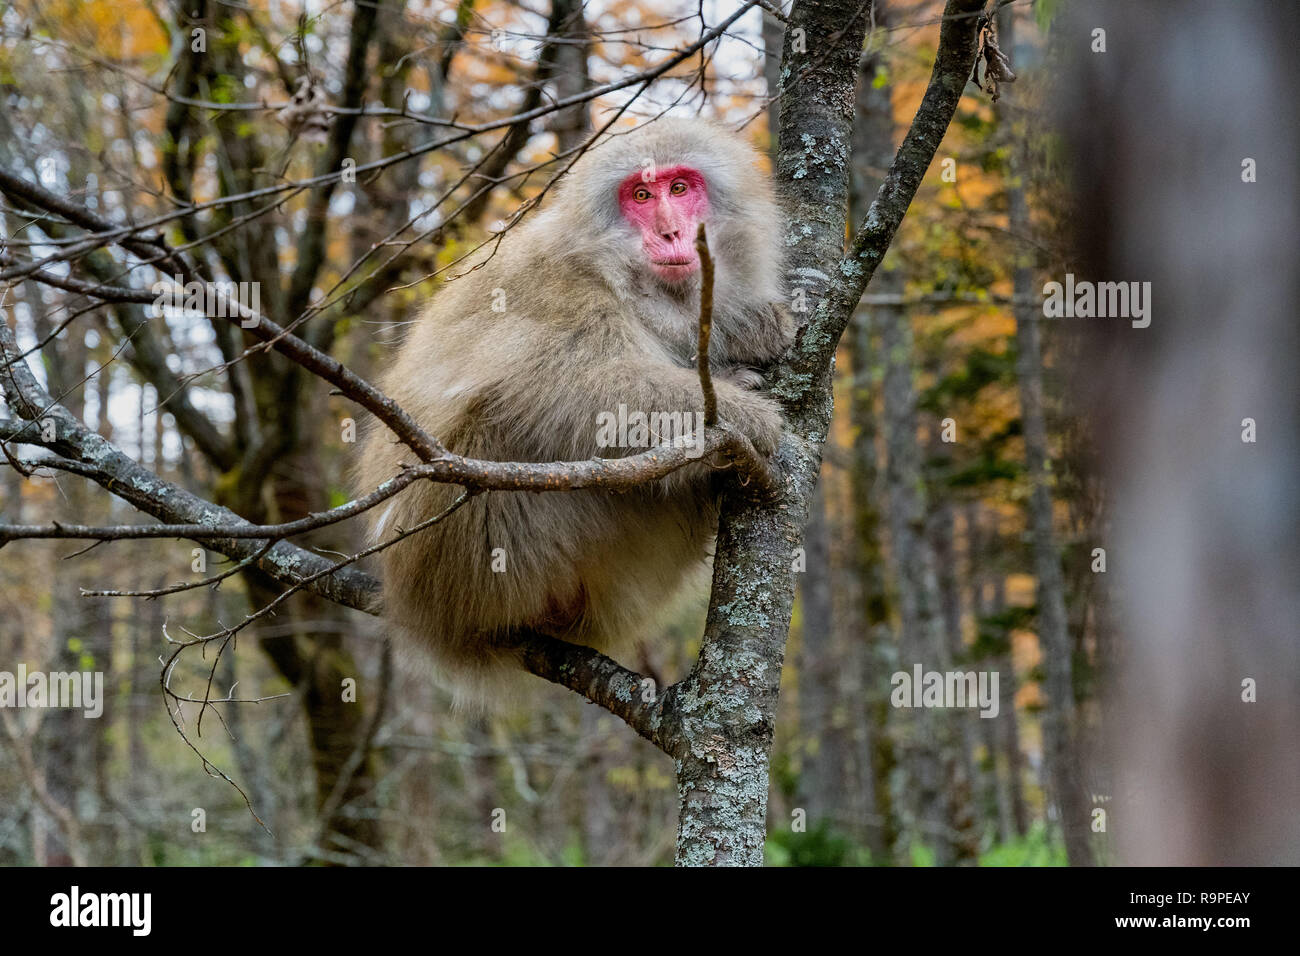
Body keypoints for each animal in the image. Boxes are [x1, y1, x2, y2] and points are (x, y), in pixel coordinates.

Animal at [355, 118, 792, 707]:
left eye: (680, 188)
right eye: (640, 196)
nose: (670, 233)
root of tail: (429, 623)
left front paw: (749, 329)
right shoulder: (562, 289)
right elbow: (573, 390)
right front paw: (745, 414)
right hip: (485, 548)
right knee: (505, 423)